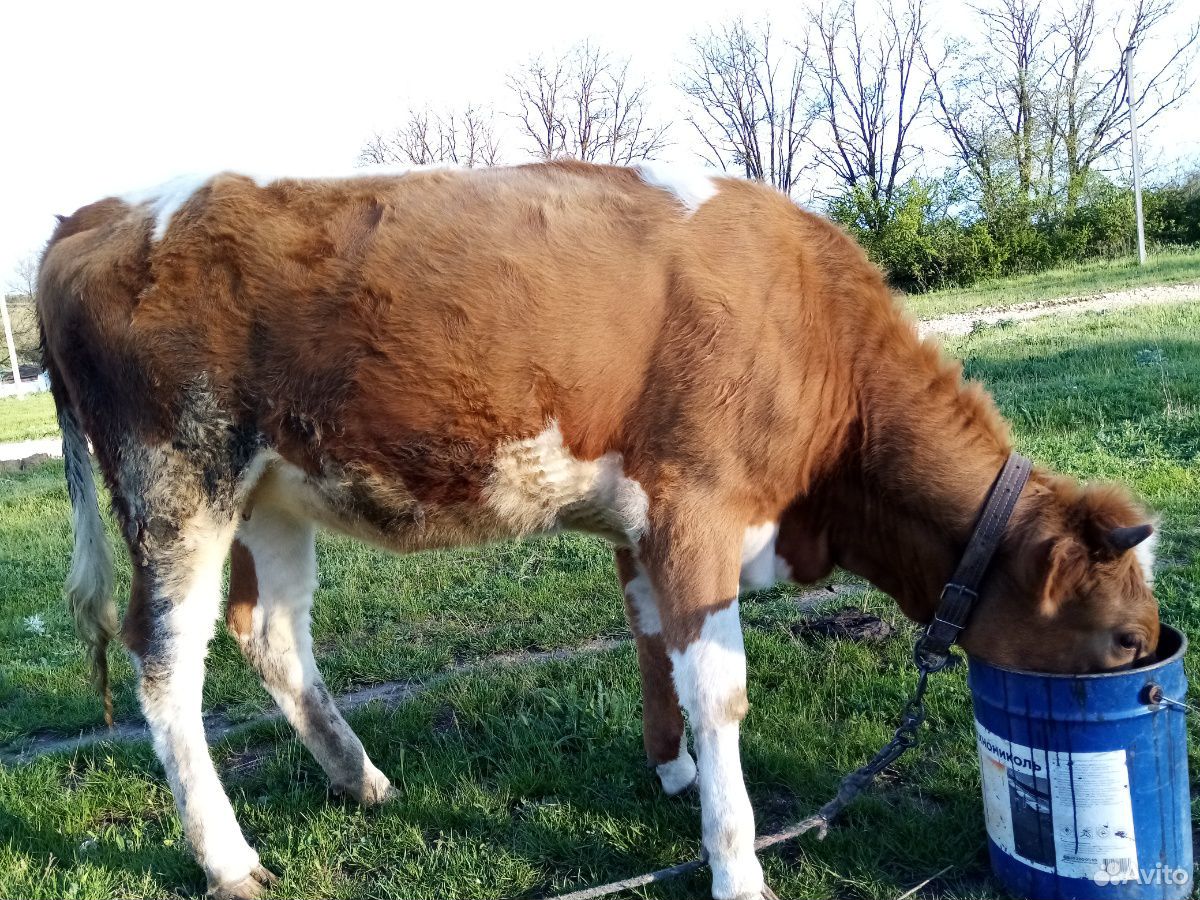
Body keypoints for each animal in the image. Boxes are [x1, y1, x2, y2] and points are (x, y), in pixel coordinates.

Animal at [37, 161, 1159, 900]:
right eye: (1127, 641)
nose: (1148, 669)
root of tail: (104, 211)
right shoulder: (699, 507)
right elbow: (721, 692)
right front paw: (736, 863)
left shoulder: (648, 525)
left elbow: (654, 647)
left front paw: (673, 774)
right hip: (177, 484)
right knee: (163, 666)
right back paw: (228, 859)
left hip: (272, 495)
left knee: (270, 633)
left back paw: (361, 780)